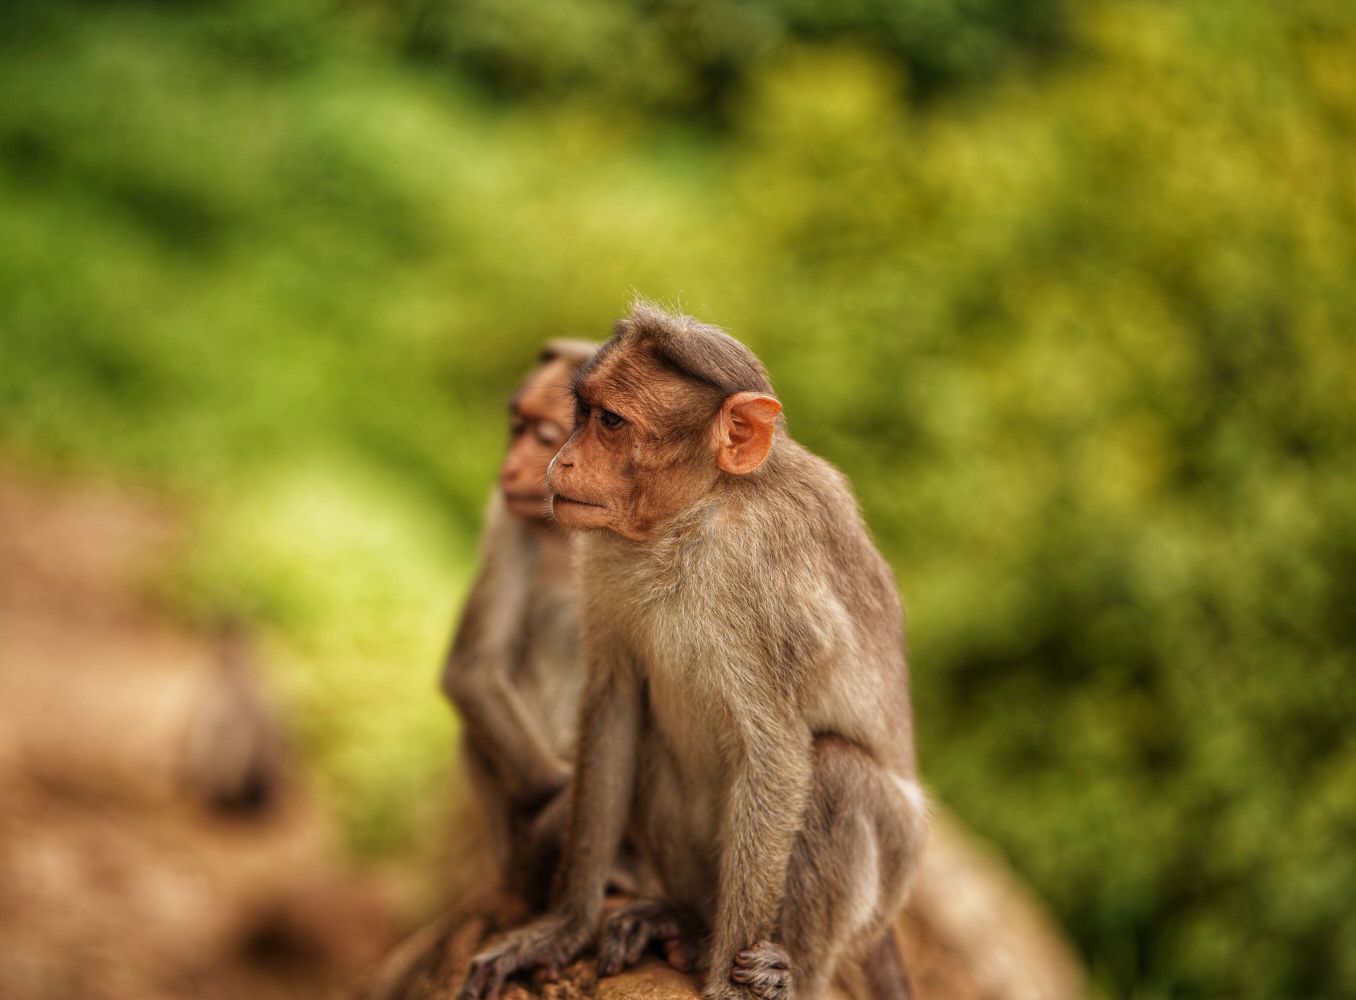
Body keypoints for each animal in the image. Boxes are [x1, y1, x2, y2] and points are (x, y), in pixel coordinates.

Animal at [457, 302, 927, 1000]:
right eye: (581, 414)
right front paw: (562, 928)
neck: (692, 517)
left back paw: (786, 972)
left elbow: (777, 754)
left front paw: (730, 989)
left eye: (610, 422)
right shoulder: (602, 553)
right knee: (655, 735)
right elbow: (615, 702)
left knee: (838, 773)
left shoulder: (772, 584)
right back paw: (688, 924)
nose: (560, 464)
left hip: (891, 873)